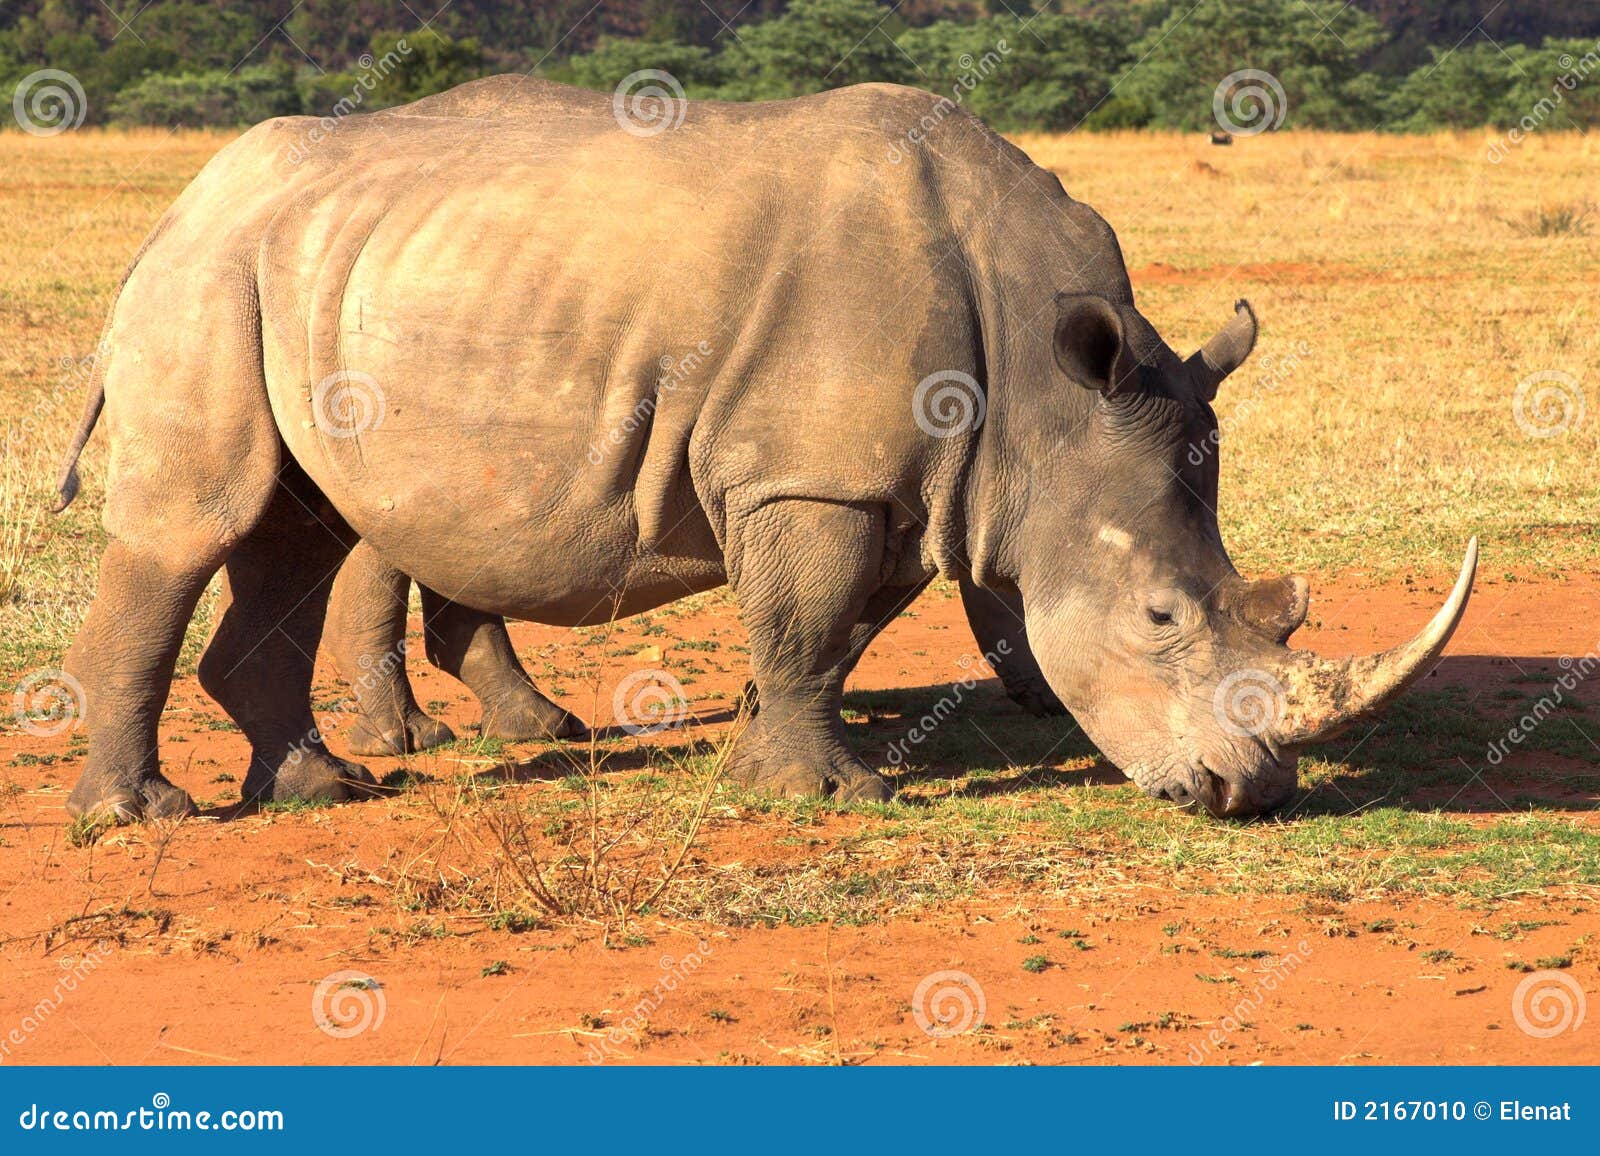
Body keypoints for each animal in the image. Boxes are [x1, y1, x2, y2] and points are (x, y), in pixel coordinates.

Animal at [51, 75, 1475, 823]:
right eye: (1163, 618)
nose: (1249, 792)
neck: (1044, 389)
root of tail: (186, 197)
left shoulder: (902, 480)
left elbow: (832, 623)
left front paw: (772, 754)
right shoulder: (816, 470)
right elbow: (811, 611)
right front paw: (826, 799)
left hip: (318, 274)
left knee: (296, 525)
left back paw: (323, 787)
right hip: (212, 278)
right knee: (200, 523)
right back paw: (143, 816)